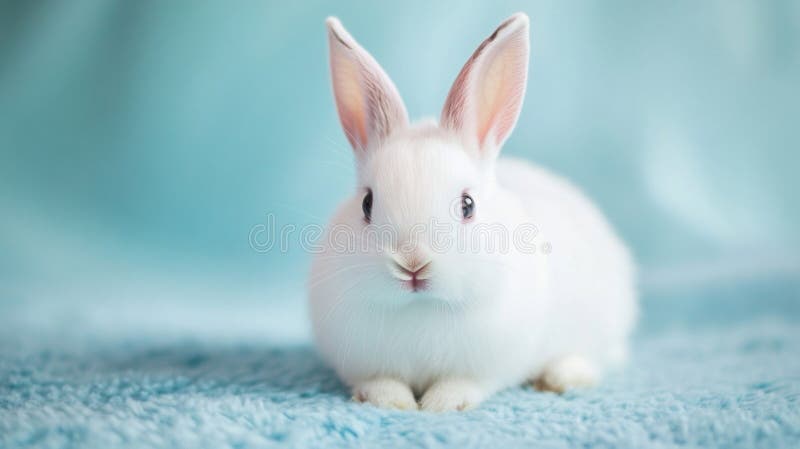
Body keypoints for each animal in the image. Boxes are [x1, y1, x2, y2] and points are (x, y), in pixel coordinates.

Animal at [308, 12, 637, 412]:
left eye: (468, 205)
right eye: (366, 204)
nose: (412, 264)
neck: (422, 309)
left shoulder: (486, 367)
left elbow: (463, 383)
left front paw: (441, 404)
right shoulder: (365, 365)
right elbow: (381, 382)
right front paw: (393, 403)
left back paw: (560, 378)